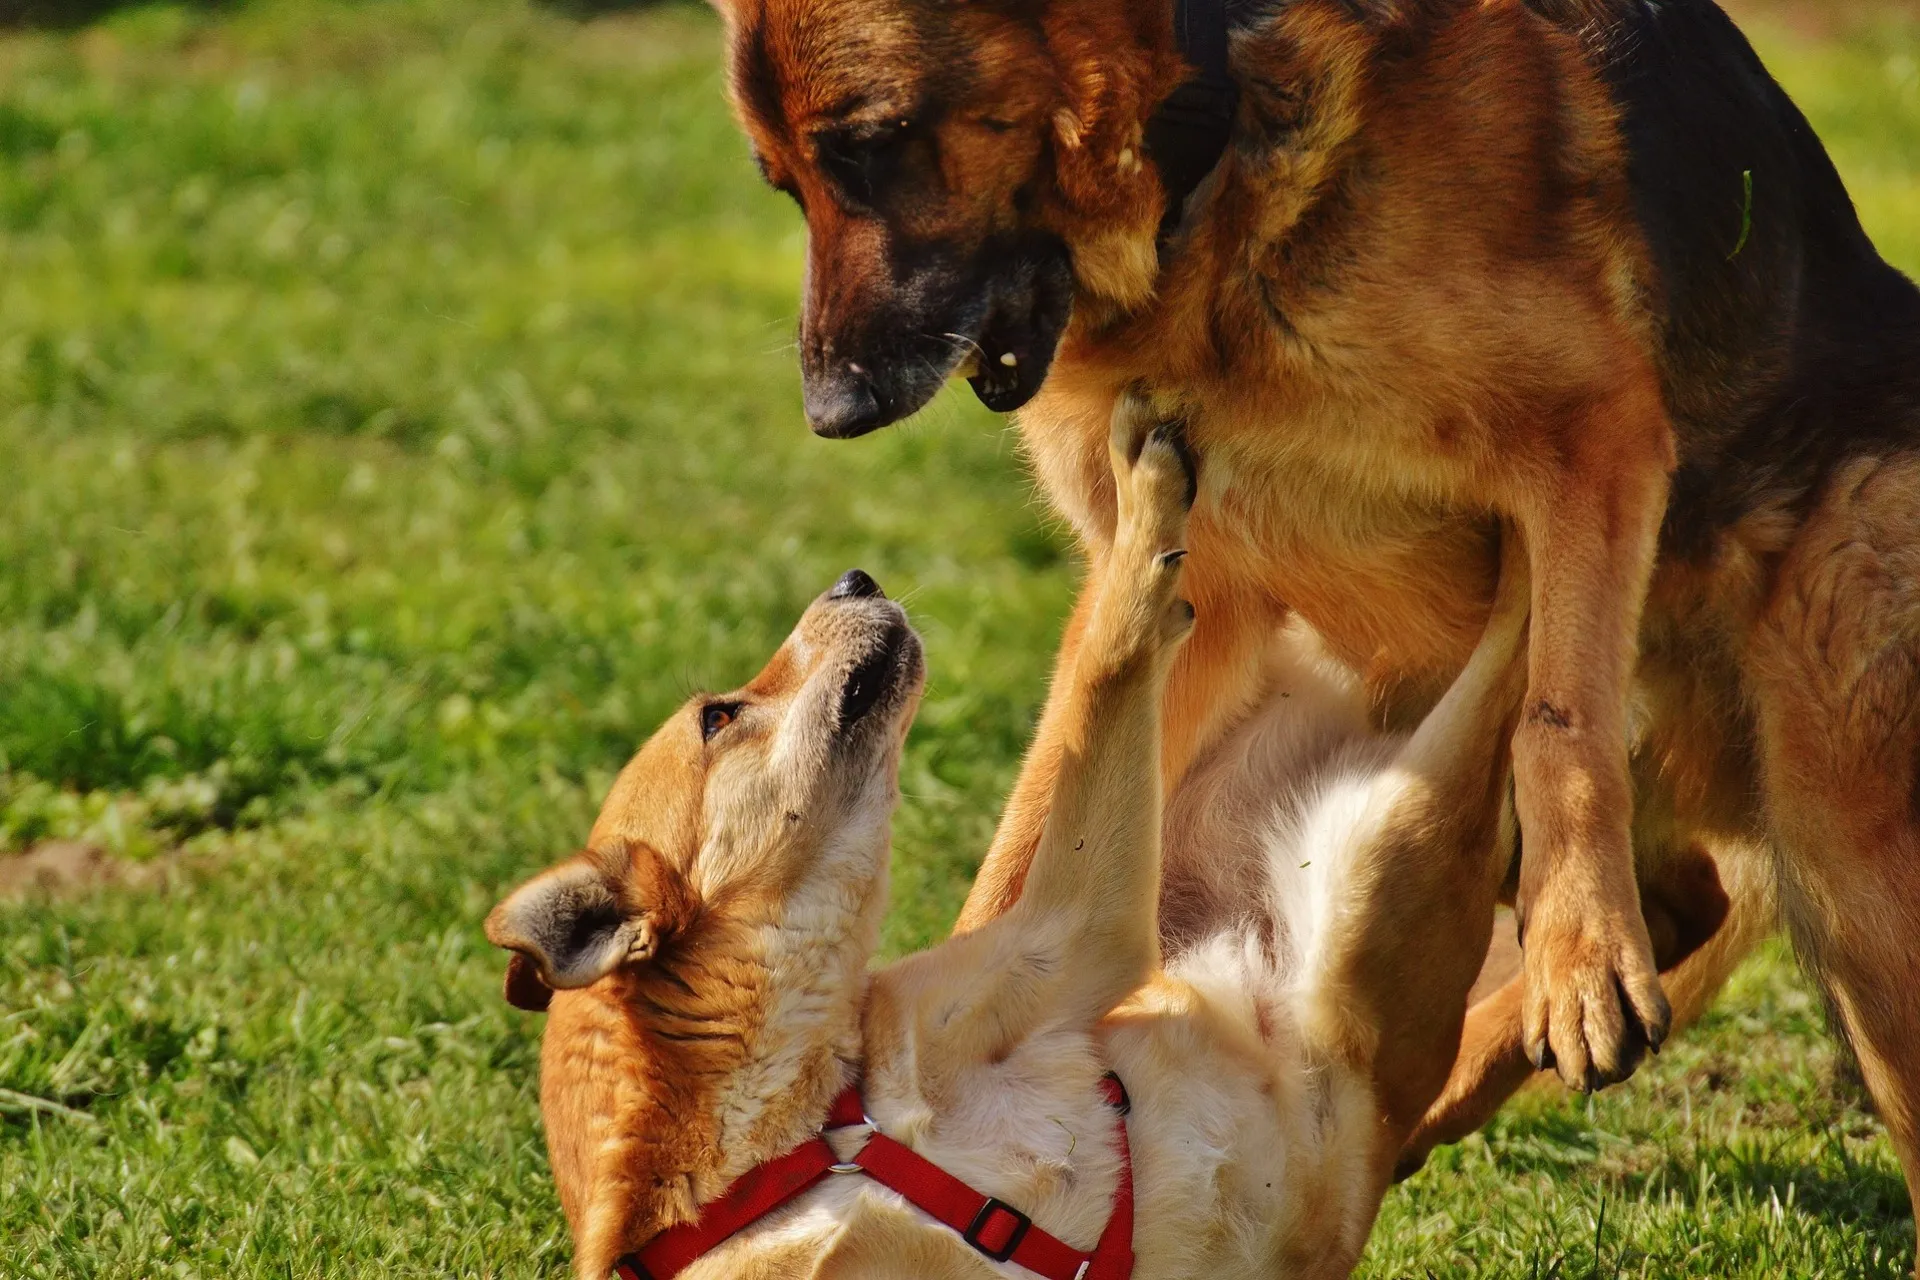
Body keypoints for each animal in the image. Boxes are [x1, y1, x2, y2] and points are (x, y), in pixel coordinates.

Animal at [491, 402, 1528, 1280]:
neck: (812, 1137)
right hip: (1389, 844)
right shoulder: (1080, 935)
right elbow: (1113, 669)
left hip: (1381, 835)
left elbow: (1104, 674)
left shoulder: (1063, 950)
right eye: (719, 715)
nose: (853, 577)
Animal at [714, 0, 1920, 1243]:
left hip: (1850, 835)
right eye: (785, 182)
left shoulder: (1599, 440)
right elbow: (1028, 847)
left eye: (872, 146)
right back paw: (1427, 1100)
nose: (831, 412)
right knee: (1690, 895)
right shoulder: (1174, 595)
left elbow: (1560, 719)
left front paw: (1583, 949)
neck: (1209, 163)